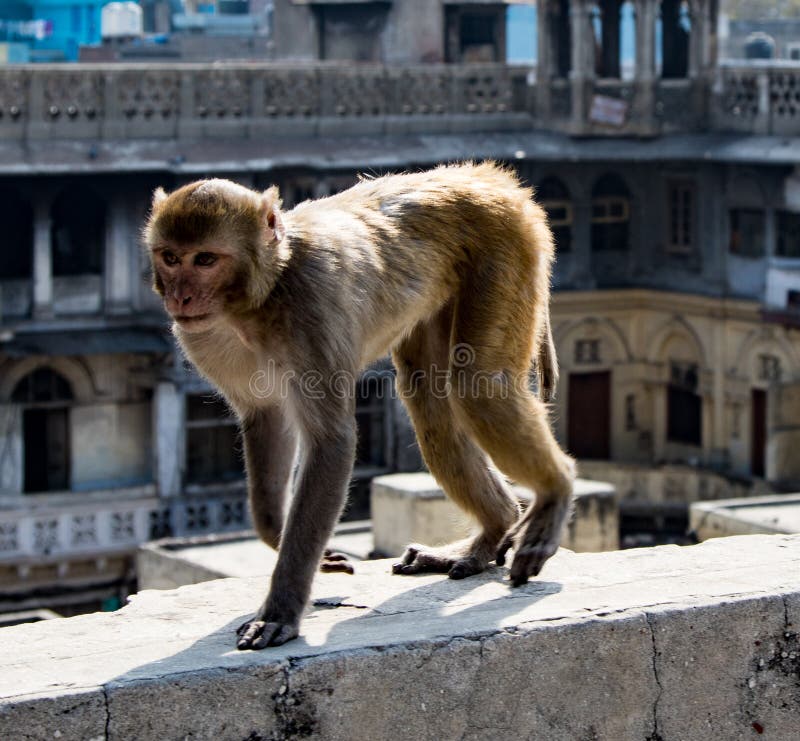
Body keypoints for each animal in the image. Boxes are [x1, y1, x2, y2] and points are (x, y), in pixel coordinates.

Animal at [144, 162, 576, 650]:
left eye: (205, 259)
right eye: (170, 256)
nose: (179, 296)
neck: (260, 298)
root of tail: (489, 178)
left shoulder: (311, 316)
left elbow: (331, 442)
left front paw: (280, 609)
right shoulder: (208, 341)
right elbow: (266, 419)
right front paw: (280, 533)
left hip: (505, 249)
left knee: (477, 388)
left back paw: (554, 491)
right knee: (431, 401)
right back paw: (491, 532)